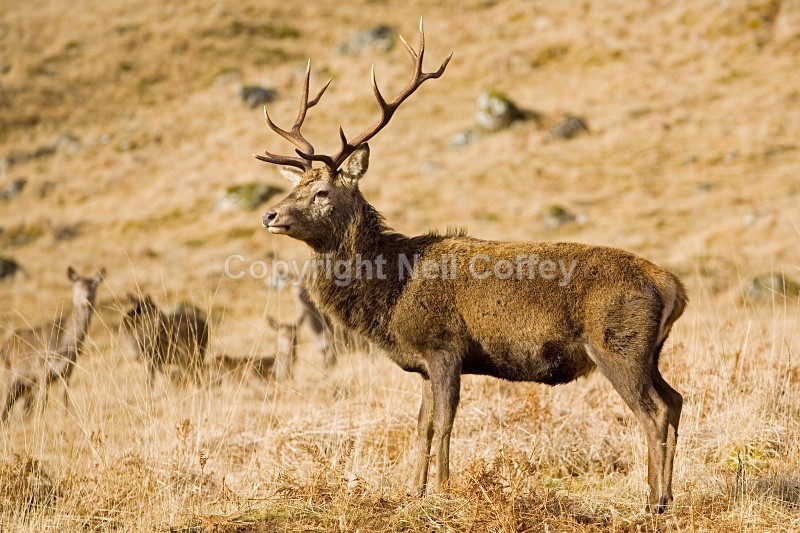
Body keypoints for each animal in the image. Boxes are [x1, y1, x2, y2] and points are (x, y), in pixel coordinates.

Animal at [1, 266, 105, 421]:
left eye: (94, 285)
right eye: (77, 284)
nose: (88, 297)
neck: (65, 345)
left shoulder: (67, 370)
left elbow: (64, 398)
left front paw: (64, 417)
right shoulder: (43, 368)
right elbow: (44, 400)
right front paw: (41, 420)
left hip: (22, 386)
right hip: (7, 377)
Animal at [255, 20, 687, 513]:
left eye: (322, 191)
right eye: (296, 186)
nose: (270, 214)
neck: (391, 293)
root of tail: (672, 286)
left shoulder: (444, 346)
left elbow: (444, 423)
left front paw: (443, 492)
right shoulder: (423, 362)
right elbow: (421, 425)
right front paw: (413, 491)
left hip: (618, 344)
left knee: (653, 411)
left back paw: (654, 500)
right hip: (650, 350)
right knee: (675, 400)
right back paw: (666, 494)